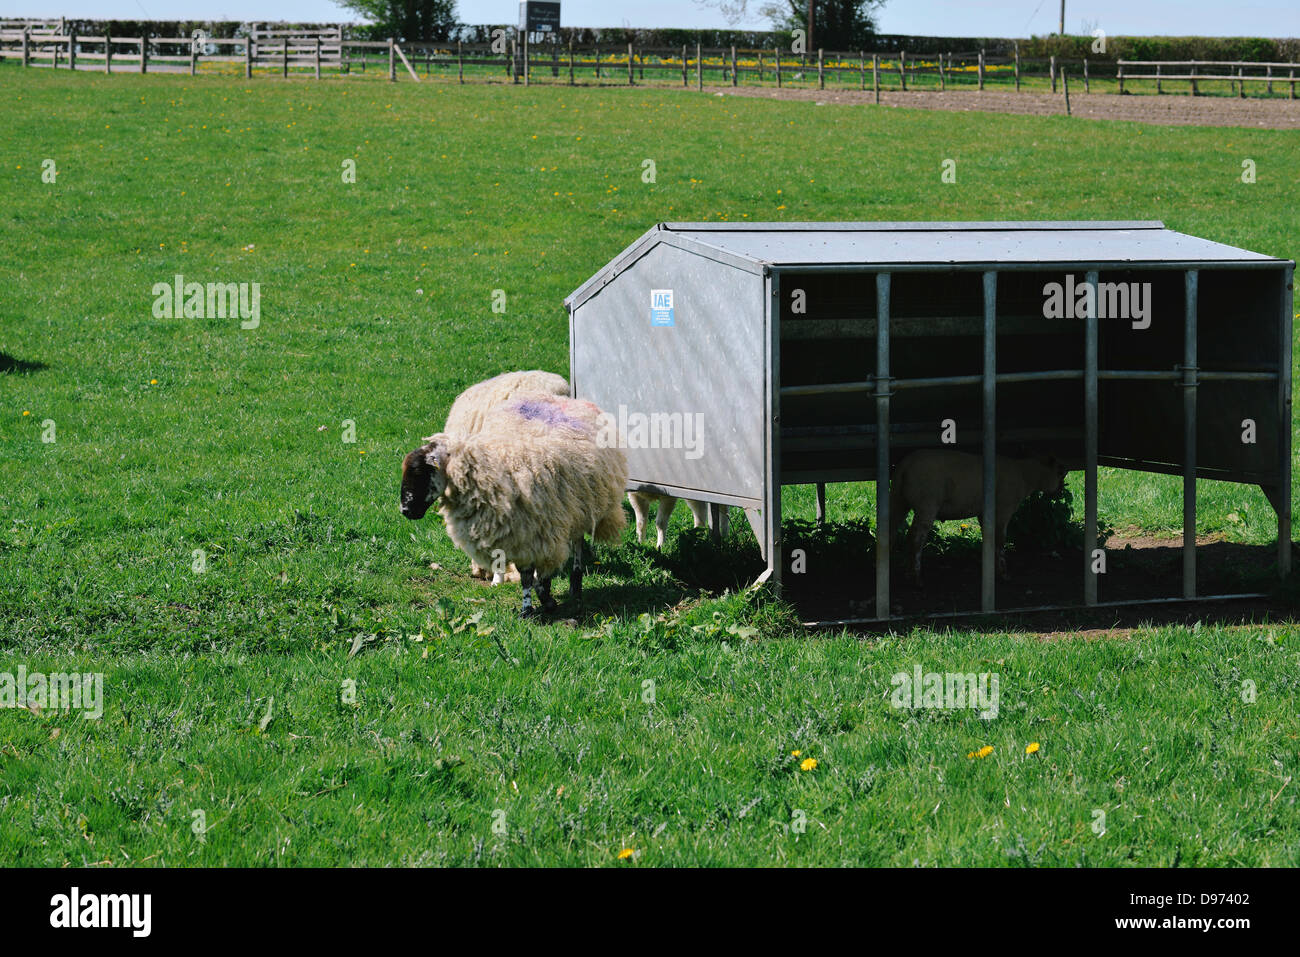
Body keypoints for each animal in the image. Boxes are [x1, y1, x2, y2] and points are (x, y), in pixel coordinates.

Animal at [400, 393, 627, 618]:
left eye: (419, 471)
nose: (405, 511)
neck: (489, 468)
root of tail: (562, 399)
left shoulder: (536, 531)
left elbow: (530, 575)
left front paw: (535, 605)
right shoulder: (519, 535)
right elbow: (528, 576)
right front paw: (538, 601)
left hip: (582, 507)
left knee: (578, 544)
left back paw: (576, 584)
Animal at [891, 450, 1067, 584]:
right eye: (1060, 472)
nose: (1060, 491)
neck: (1026, 475)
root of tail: (905, 465)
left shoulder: (985, 514)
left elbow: (989, 538)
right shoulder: (1004, 508)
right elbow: (1000, 540)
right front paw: (1003, 575)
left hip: (899, 501)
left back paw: (908, 574)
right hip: (927, 503)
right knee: (916, 538)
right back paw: (916, 579)